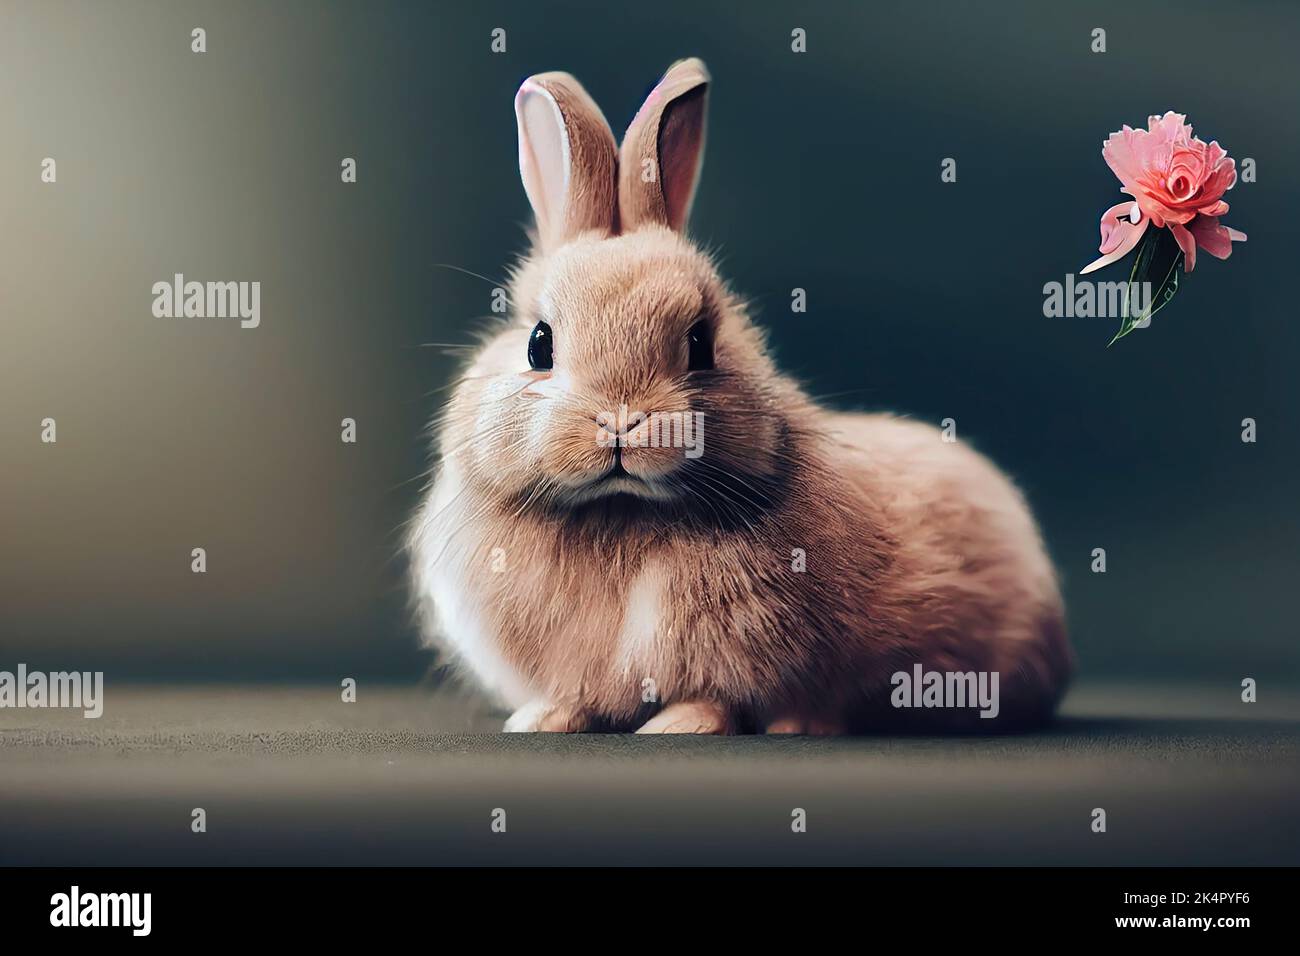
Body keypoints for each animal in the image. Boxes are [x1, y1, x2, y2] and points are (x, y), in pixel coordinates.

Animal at [407, 58, 1072, 734]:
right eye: (539, 344)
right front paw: (541, 719)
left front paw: (677, 725)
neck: (620, 512)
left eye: (701, 343)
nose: (620, 422)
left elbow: (717, 697)